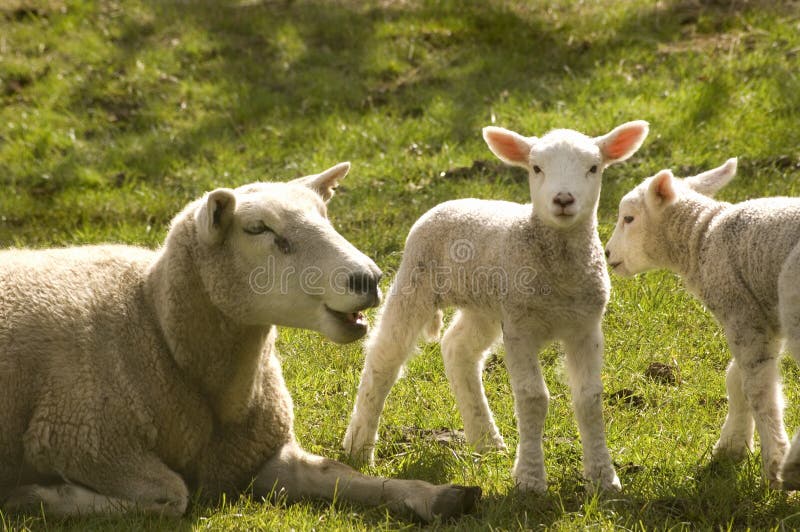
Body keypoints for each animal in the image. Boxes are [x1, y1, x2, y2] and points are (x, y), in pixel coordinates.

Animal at [0, 162, 481, 522]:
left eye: (325, 217)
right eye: (257, 229)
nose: (368, 278)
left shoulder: (261, 454)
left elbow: (337, 471)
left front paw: (434, 495)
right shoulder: (81, 443)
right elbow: (170, 495)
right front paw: (34, 496)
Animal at [343, 121, 650, 493]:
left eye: (593, 168)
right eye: (536, 168)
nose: (563, 199)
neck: (559, 276)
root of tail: (451, 202)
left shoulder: (586, 327)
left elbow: (589, 398)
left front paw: (604, 478)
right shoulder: (520, 327)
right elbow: (533, 397)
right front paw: (529, 479)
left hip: (486, 306)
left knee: (457, 349)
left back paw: (487, 441)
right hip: (415, 280)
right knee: (384, 357)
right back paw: (359, 447)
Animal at [604, 158, 800, 488]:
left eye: (628, 218)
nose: (606, 253)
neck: (702, 235)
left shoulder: (741, 310)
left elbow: (758, 390)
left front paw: (774, 464)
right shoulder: (764, 318)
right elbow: (735, 378)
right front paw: (731, 447)